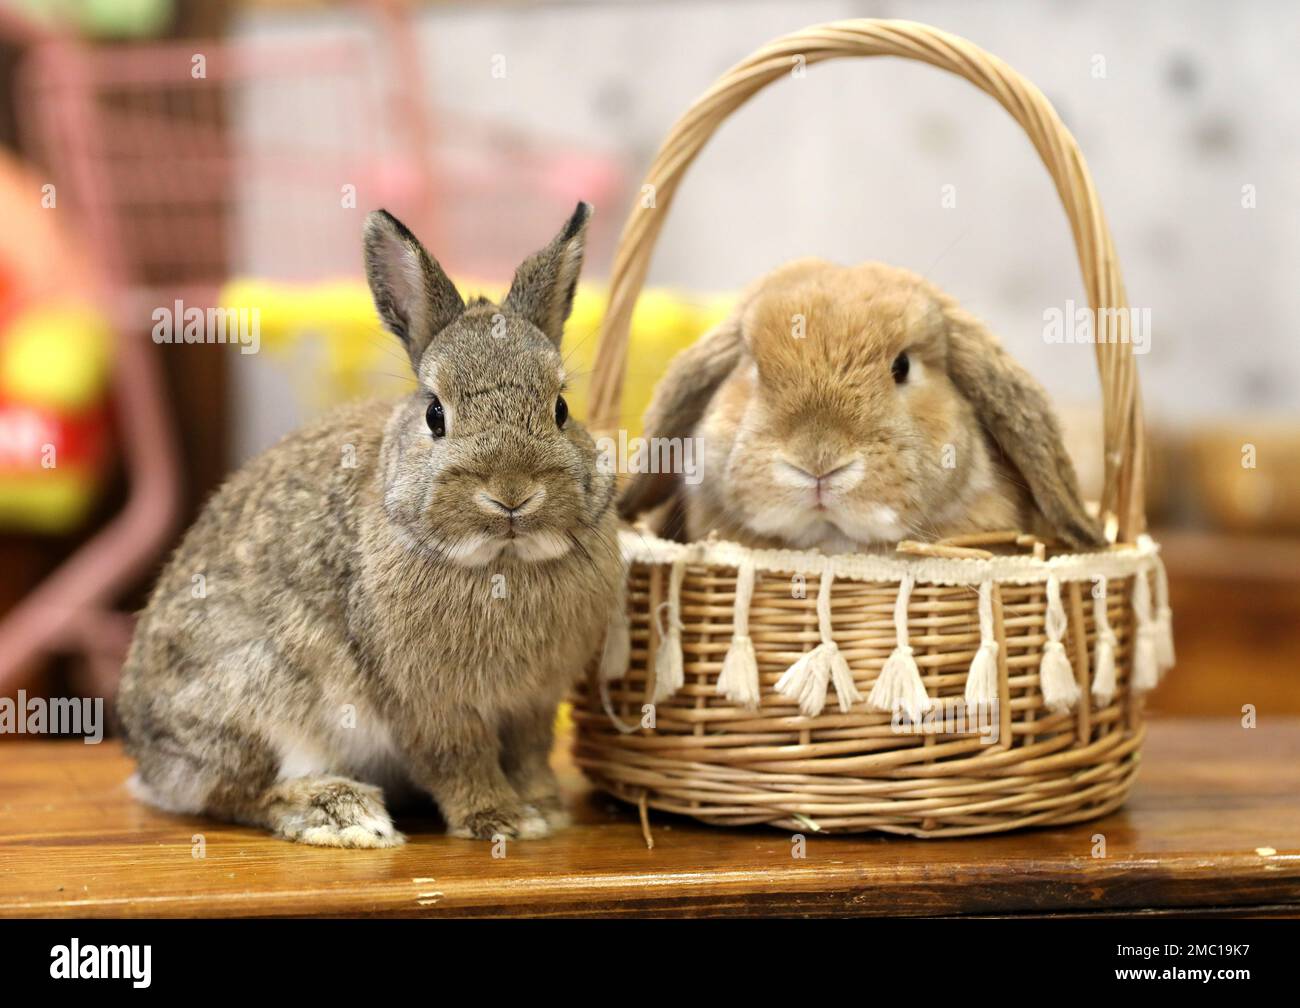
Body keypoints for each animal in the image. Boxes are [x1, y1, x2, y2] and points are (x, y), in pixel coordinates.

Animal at [117, 203, 622, 847]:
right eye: (435, 414)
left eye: (560, 409)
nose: (511, 493)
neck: (502, 561)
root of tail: (151, 764)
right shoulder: (428, 705)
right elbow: (459, 761)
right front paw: (498, 820)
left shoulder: (533, 705)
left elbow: (530, 755)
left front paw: (544, 812)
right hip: (259, 698)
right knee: (241, 792)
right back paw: (342, 813)